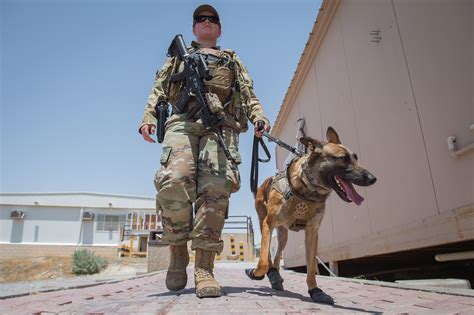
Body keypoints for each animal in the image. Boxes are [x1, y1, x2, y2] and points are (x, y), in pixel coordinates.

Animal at [246, 127, 376, 304]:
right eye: (343, 158)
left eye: (355, 157)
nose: (372, 178)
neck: (308, 189)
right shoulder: (269, 223)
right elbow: (263, 261)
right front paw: (255, 272)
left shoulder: (312, 233)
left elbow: (312, 266)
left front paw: (315, 290)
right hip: (264, 224)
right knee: (268, 256)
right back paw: (271, 274)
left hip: (283, 235)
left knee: (277, 255)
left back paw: (276, 276)